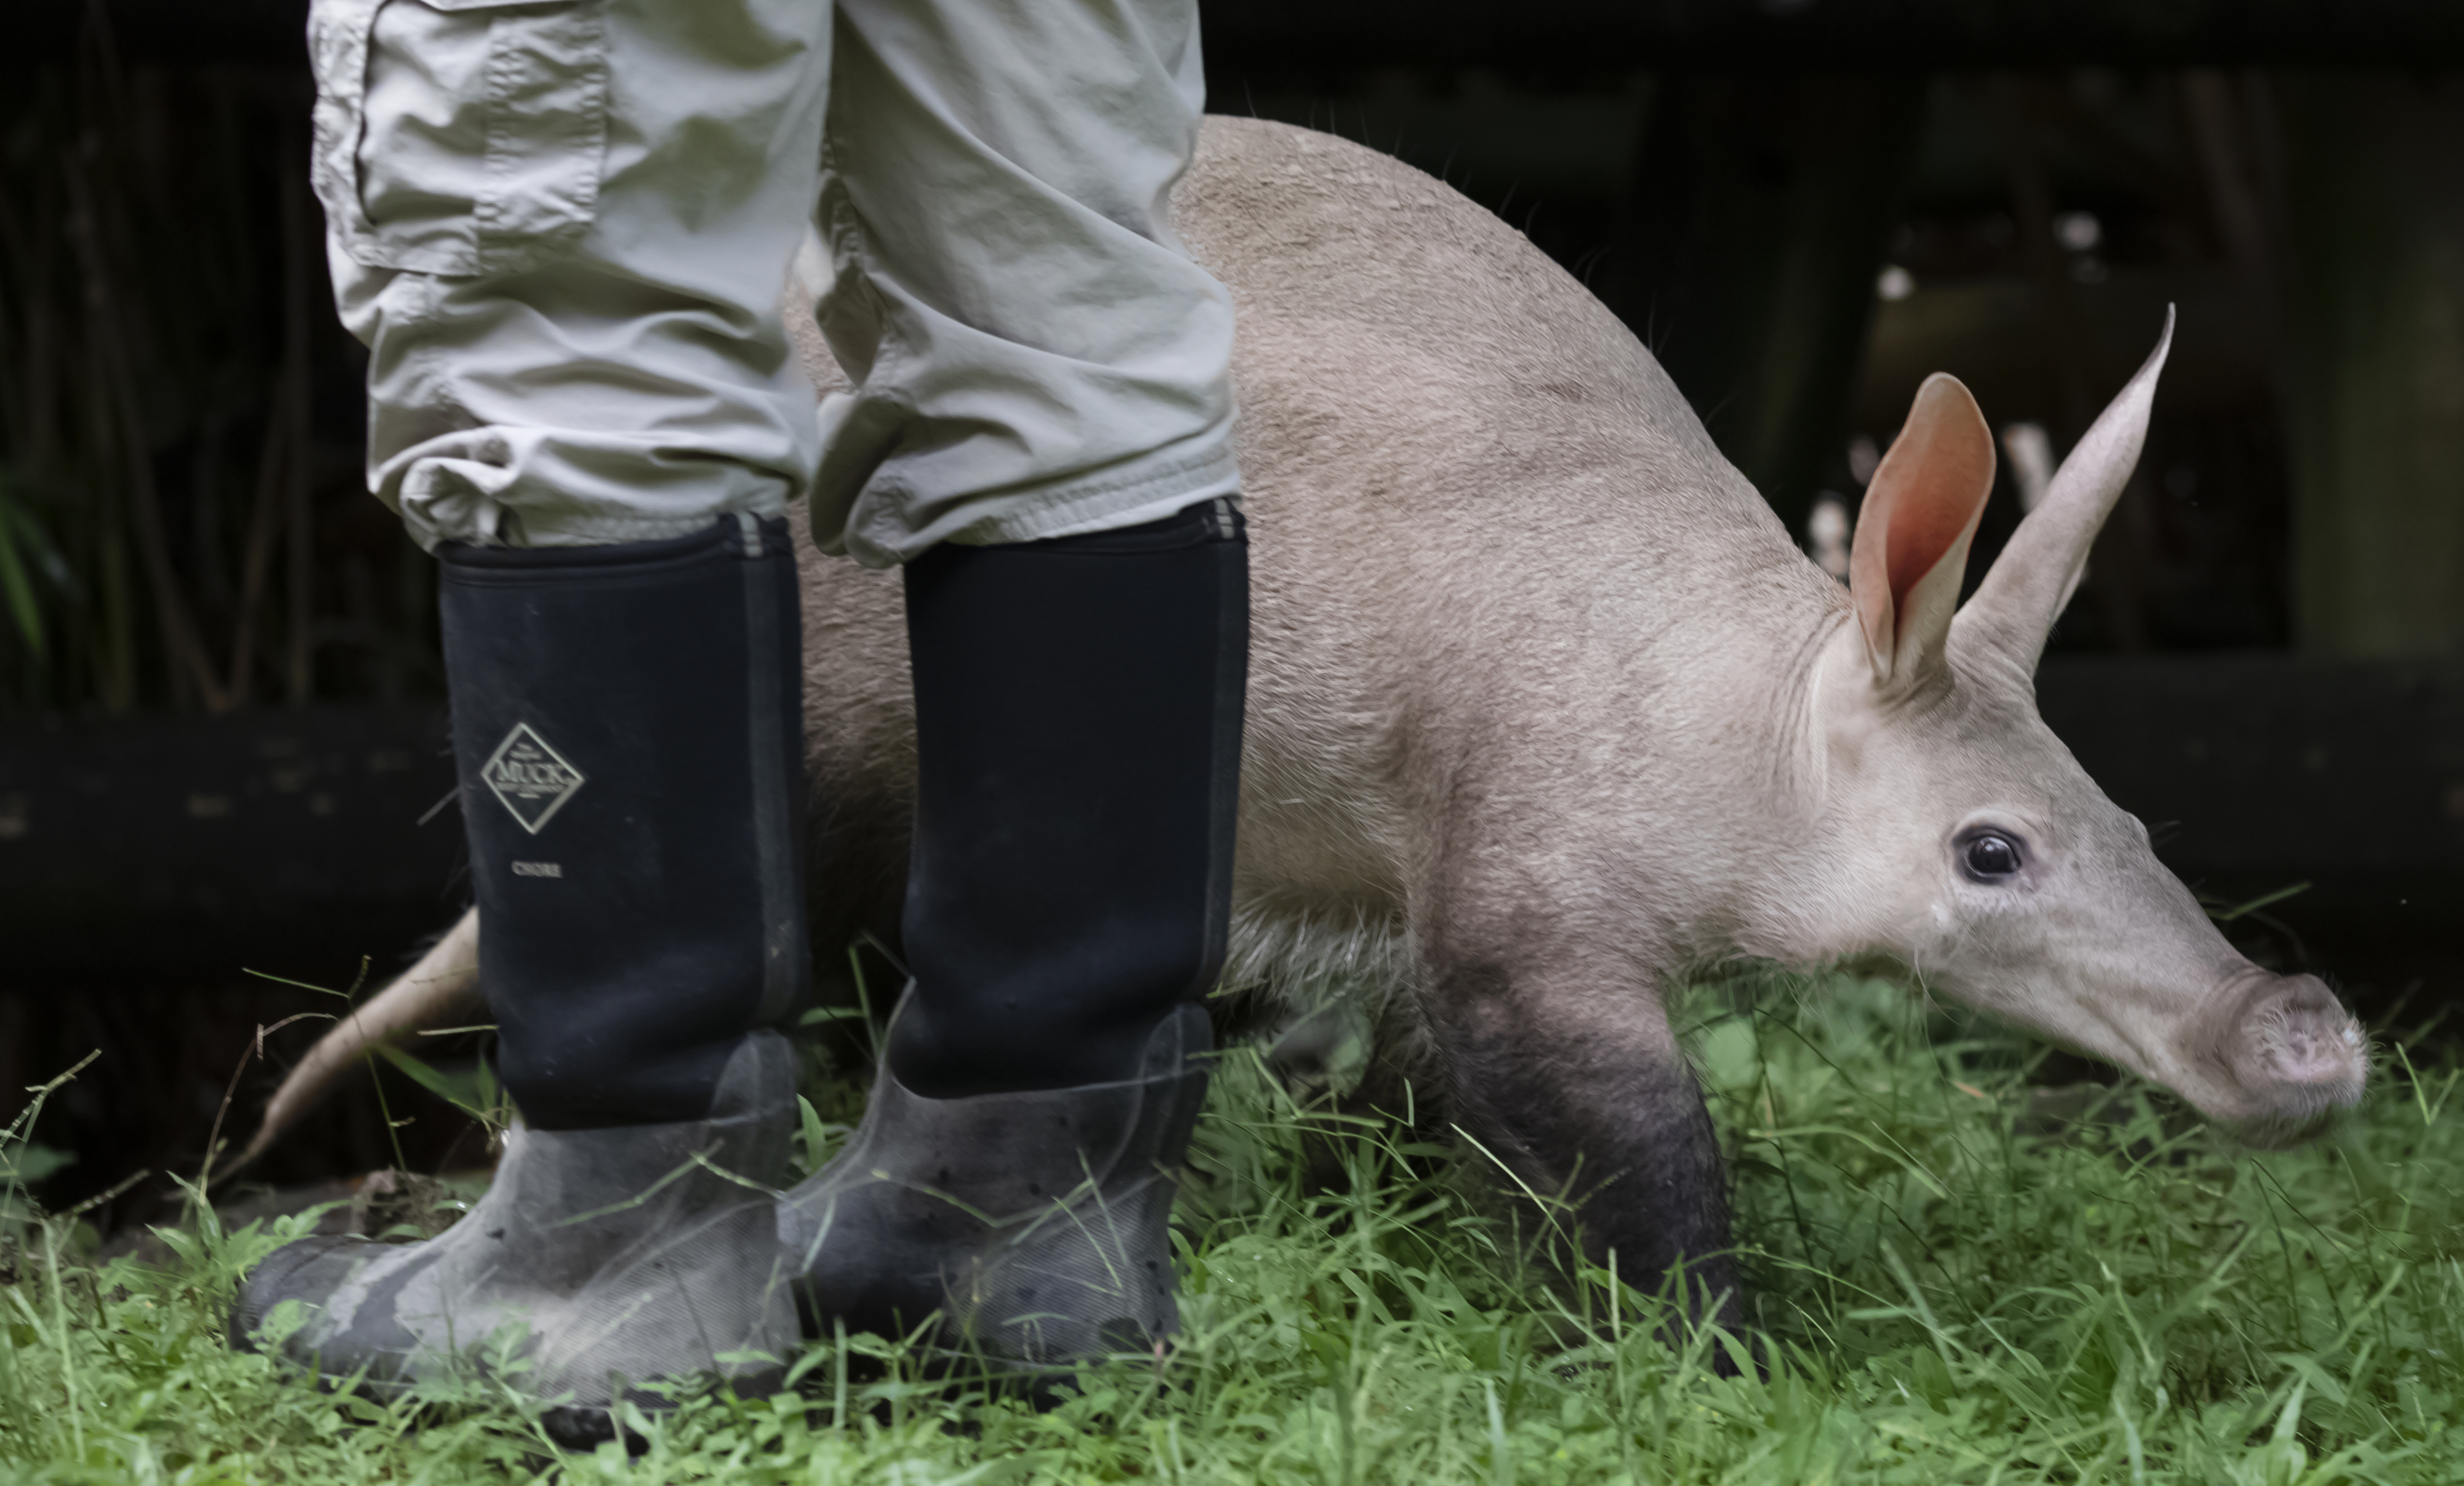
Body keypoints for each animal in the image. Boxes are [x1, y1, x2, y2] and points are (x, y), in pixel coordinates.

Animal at [243, 118, 2366, 1312]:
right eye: (1985, 851)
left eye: (2136, 822)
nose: (2301, 1035)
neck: (1727, 702)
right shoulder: (1521, 873)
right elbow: (1615, 1115)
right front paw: (1695, 1330)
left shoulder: (1418, 892)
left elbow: (1448, 1084)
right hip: (842, 755)